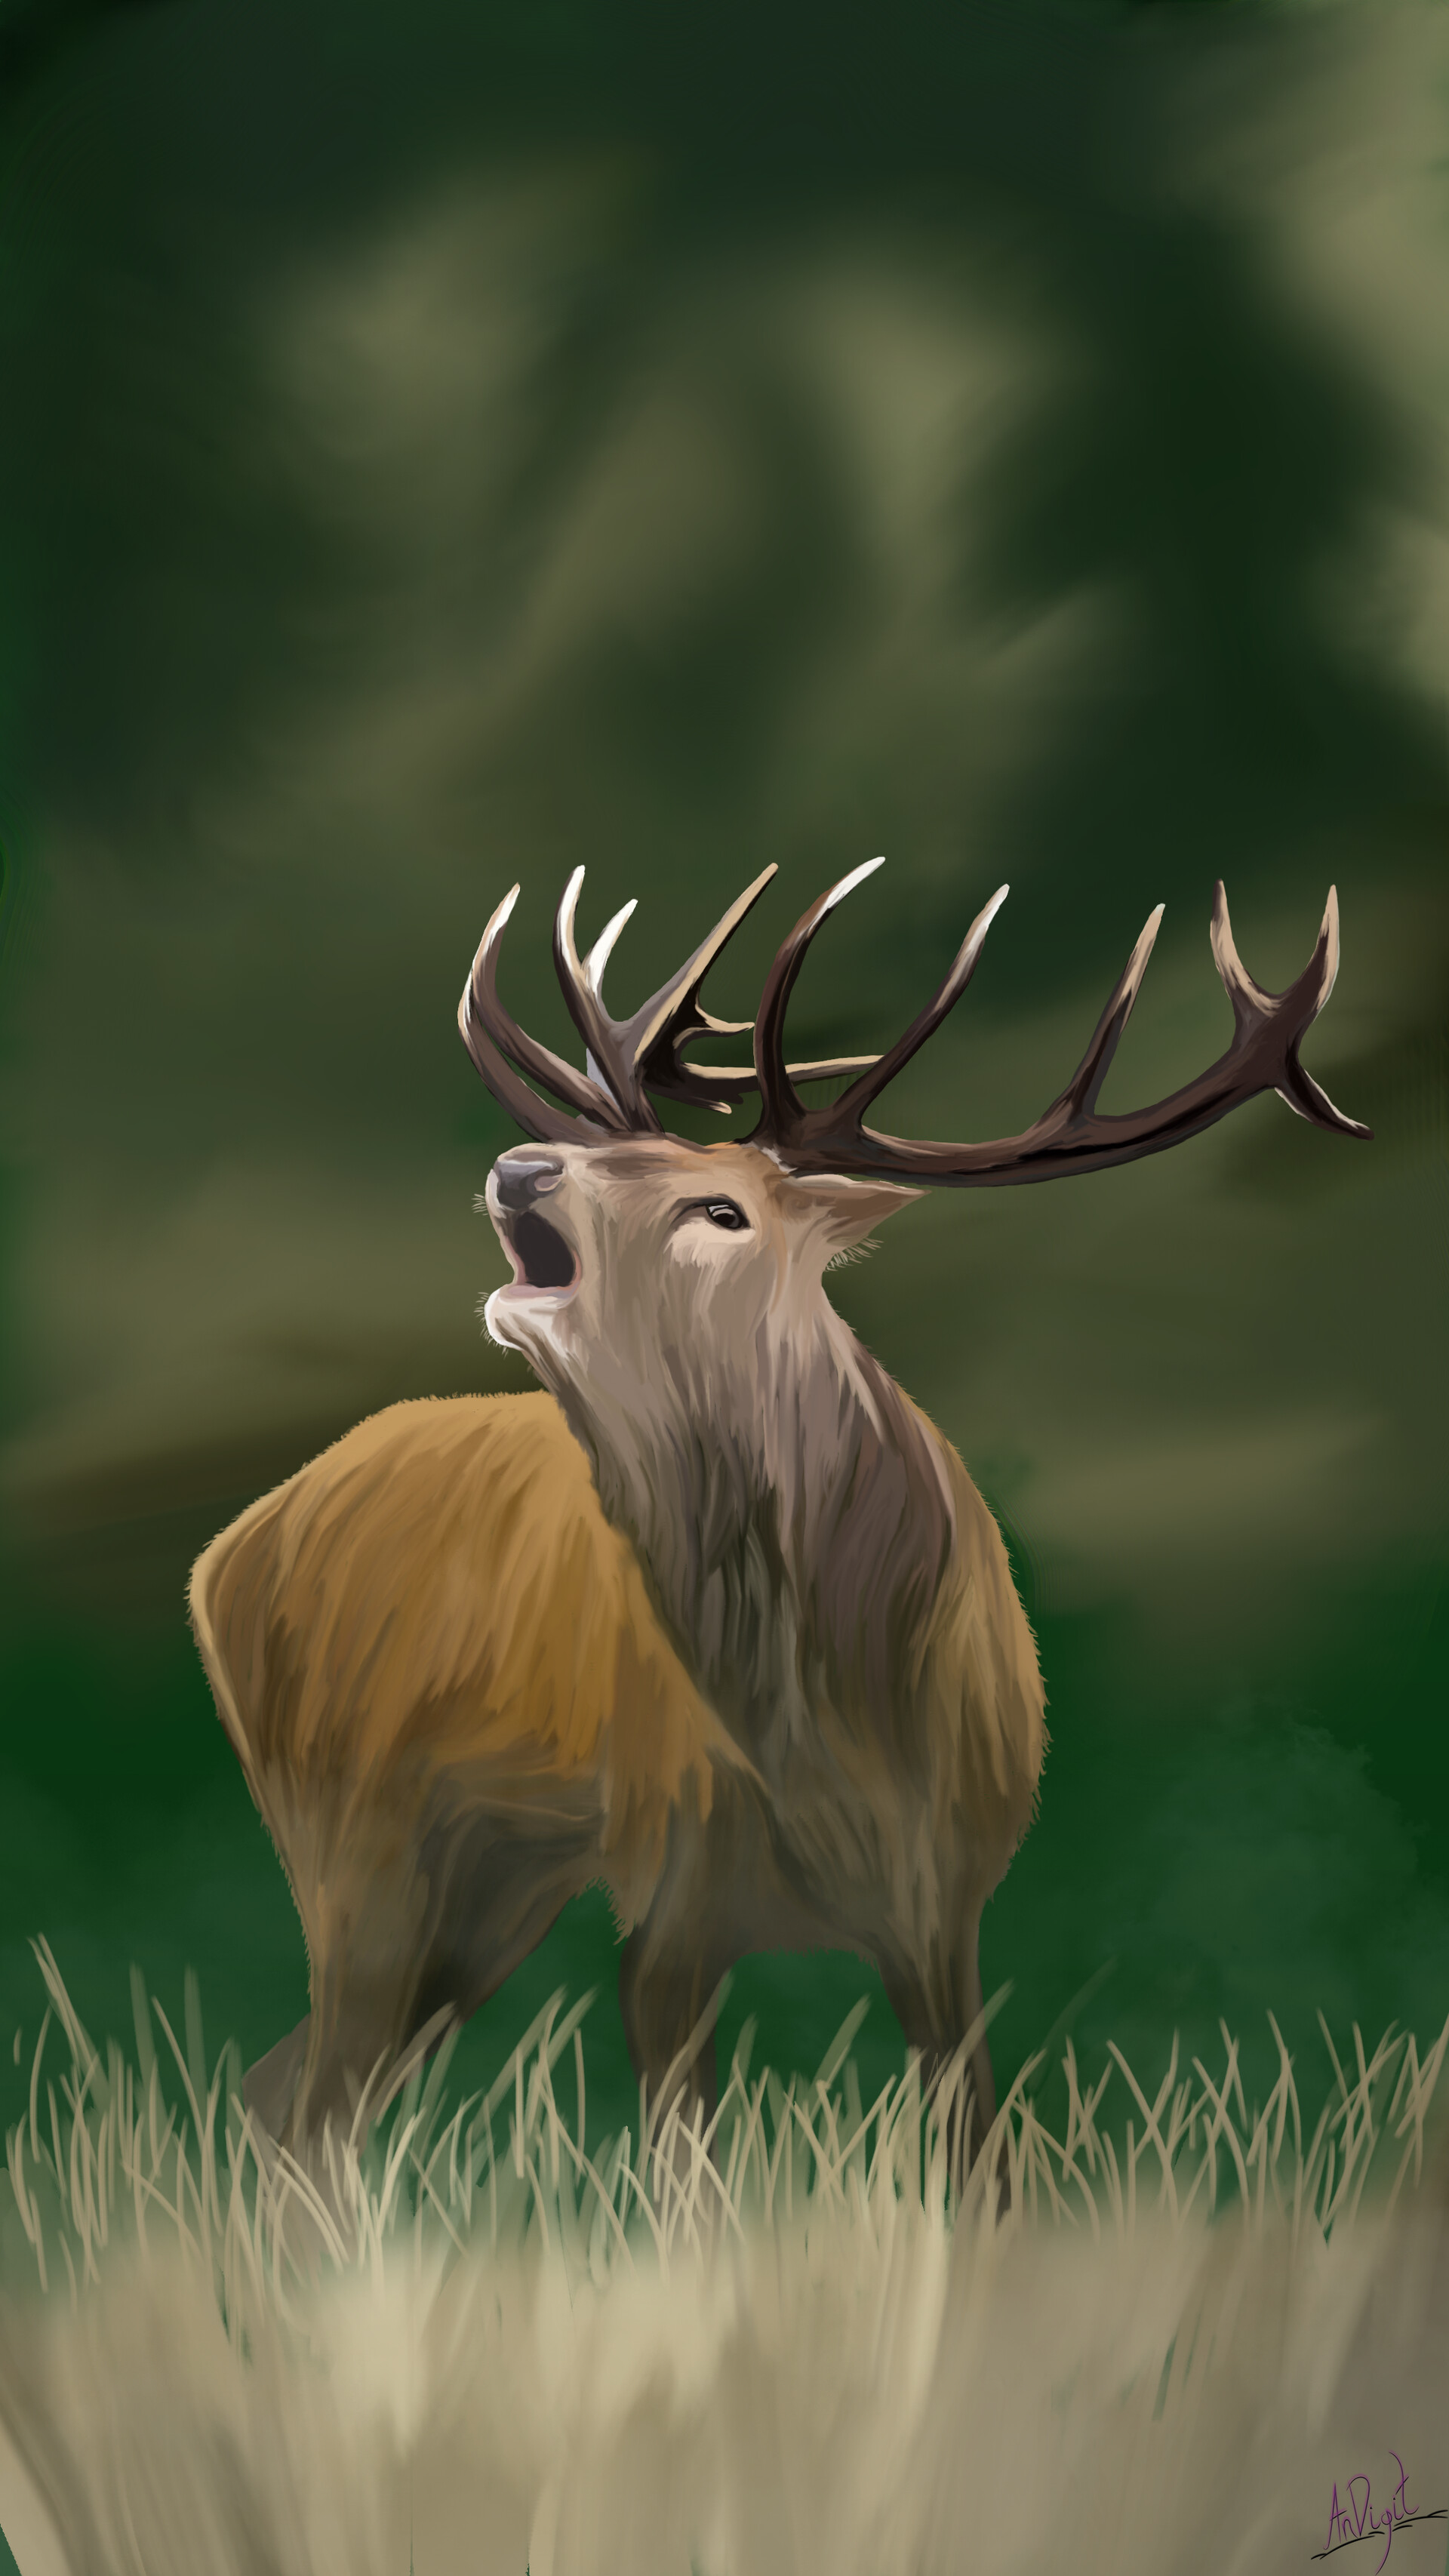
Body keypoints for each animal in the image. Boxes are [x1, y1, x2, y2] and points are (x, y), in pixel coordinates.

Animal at [189, 856, 1368, 2194]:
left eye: (720, 1209)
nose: (521, 1168)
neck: (841, 1729)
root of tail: (223, 1552)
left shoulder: (947, 1904)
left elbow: (980, 2154)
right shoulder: (668, 1884)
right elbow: (686, 2186)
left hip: (485, 1884)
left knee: (289, 2089)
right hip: (355, 1833)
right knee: (310, 2099)